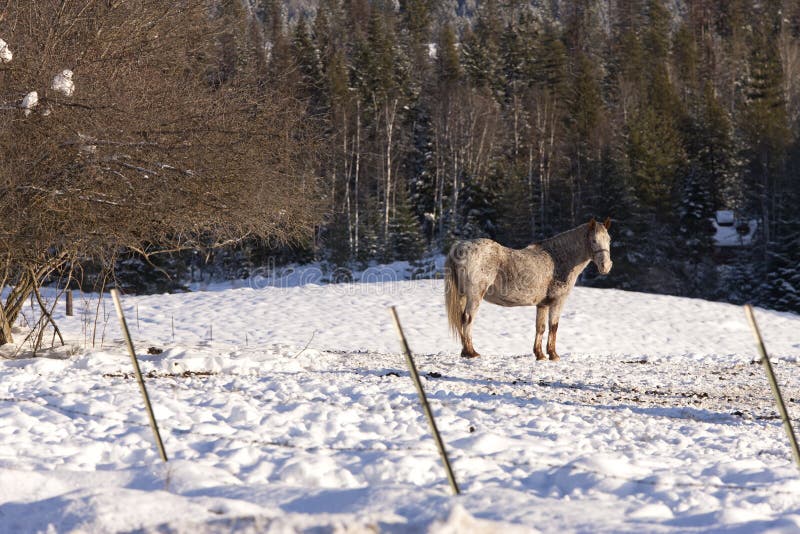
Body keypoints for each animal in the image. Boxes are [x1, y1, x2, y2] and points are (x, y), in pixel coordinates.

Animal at [445, 218, 612, 360]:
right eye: (594, 240)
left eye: (609, 240)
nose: (606, 266)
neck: (557, 259)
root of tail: (460, 246)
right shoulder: (557, 301)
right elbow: (553, 327)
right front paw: (553, 354)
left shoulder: (543, 304)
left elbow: (541, 327)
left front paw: (540, 355)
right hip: (474, 295)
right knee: (468, 318)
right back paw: (471, 352)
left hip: (463, 295)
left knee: (462, 318)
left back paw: (465, 351)